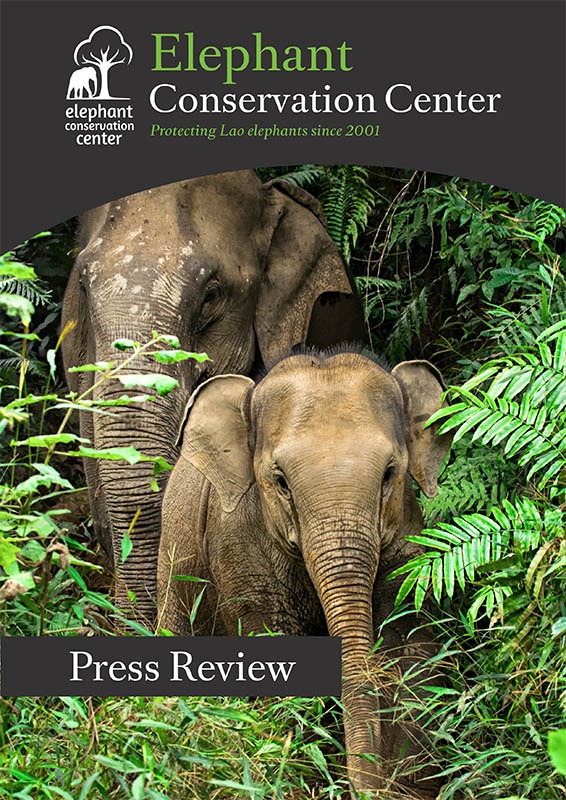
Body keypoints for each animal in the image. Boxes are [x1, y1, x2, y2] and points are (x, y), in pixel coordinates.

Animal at [157, 350, 451, 799]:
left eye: (390, 473)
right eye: (280, 481)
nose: (362, 788)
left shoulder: (407, 540)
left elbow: (406, 647)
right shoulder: (239, 549)